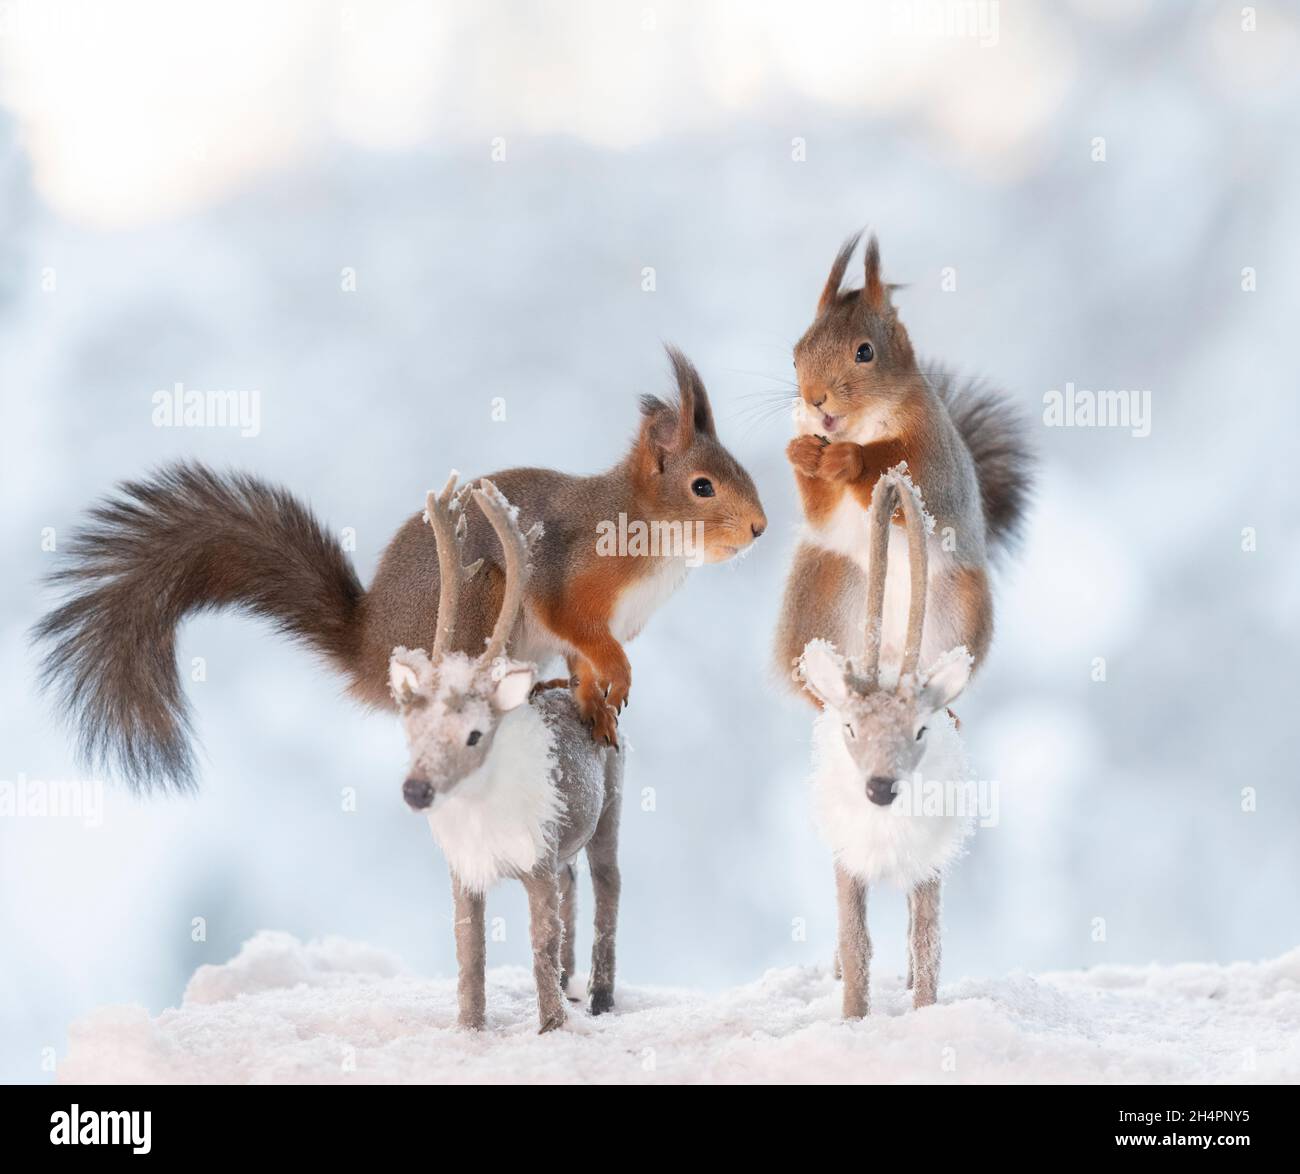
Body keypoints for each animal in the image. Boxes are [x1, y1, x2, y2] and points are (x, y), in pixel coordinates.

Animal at [34, 346, 767, 791]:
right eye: (703, 487)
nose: (760, 528)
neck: (653, 539)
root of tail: (368, 649)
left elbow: (583, 664)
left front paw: (597, 709)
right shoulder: (568, 581)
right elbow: (585, 636)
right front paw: (617, 675)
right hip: (479, 599)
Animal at [774, 232, 1033, 700]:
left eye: (865, 352)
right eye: (796, 355)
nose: (814, 399)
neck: (862, 427)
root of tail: (890, 657)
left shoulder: (935, 456)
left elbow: (917, 485)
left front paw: (850, 459)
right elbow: (821, 510)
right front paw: (803, 454)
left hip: (959, 606)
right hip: (819, 595)